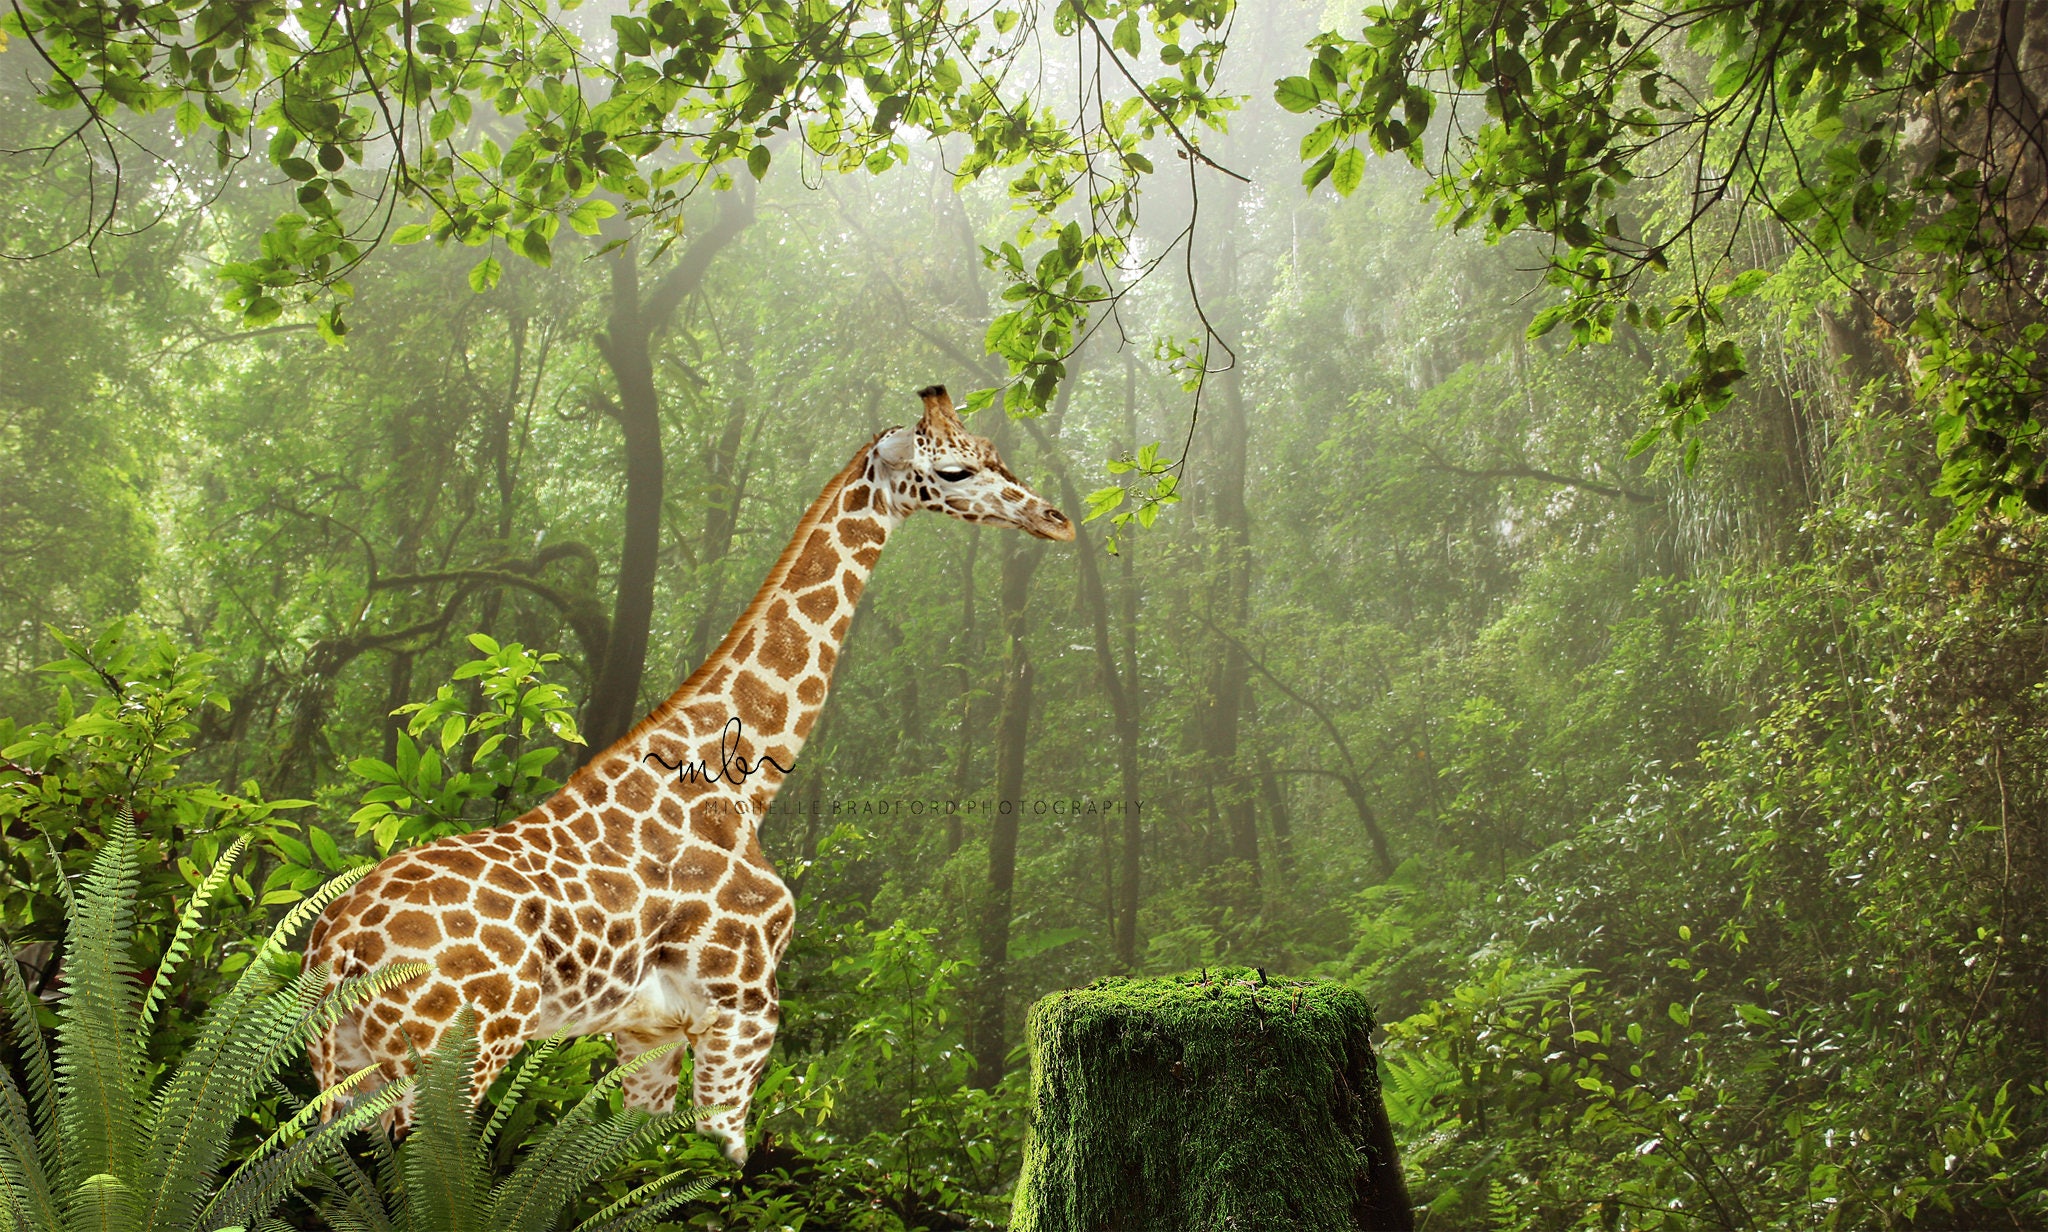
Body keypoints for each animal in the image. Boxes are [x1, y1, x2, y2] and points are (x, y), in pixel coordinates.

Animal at [305, 385, 1072, 1162]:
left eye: (993, 452)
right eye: (951, 471)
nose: (1057, 520)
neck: (743, 786)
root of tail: (337, 948)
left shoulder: (647, 1028)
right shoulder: (745, 1011)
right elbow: (719, 1160)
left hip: (344, 1070)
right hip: (453, 1058)